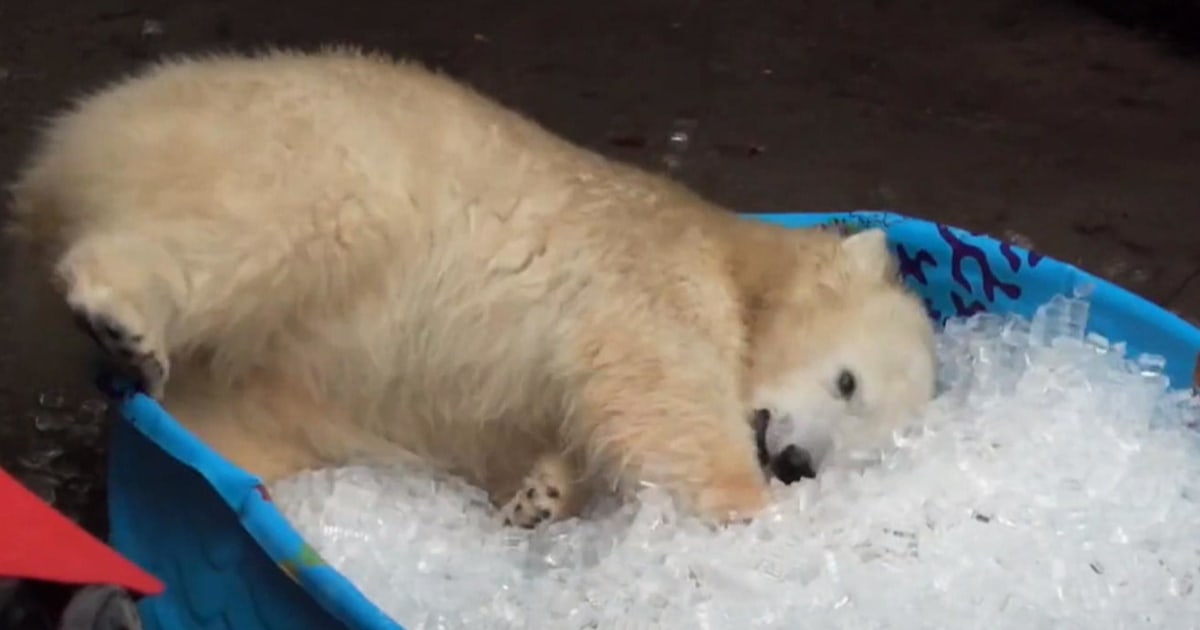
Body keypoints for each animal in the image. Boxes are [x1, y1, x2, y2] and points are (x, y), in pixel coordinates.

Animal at [6, 47, 937, 528]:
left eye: (869, 445)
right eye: (847, 381)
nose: (795, 463)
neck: (738, 258)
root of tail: (85, 126)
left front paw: (542, 494)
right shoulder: (655, 272)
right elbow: (655, 382)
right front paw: (747, 507)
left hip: (270, 400)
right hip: (310, 155)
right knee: (270, 228)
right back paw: (122, 315)